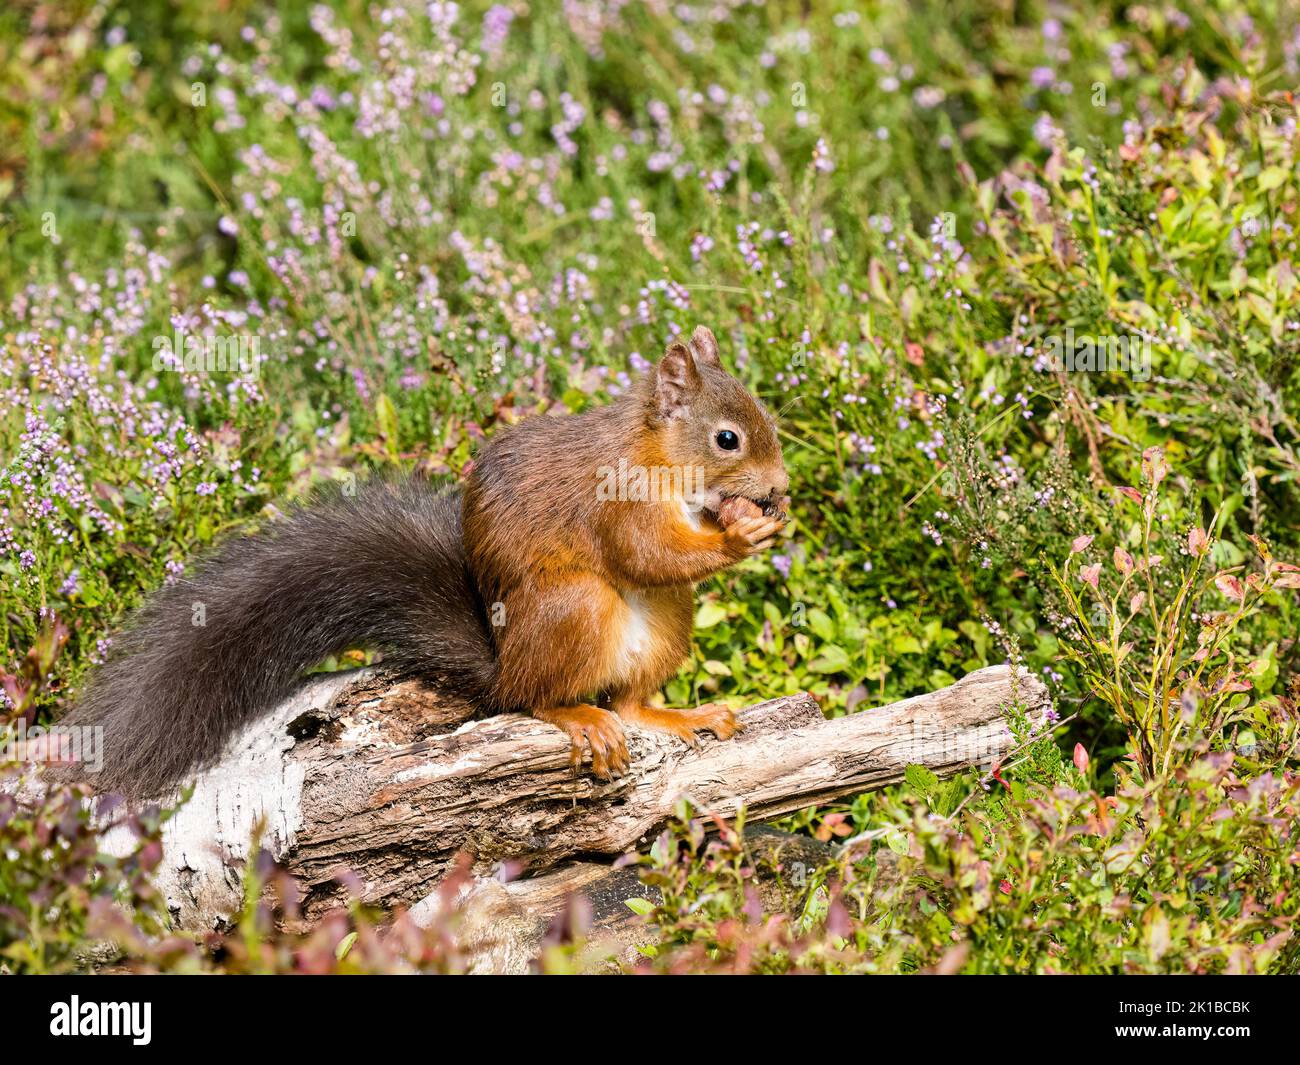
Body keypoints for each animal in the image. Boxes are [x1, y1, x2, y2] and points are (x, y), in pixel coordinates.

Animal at [61, 325, 789, 797]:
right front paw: (740, 536)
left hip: (666, 620)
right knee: (532, 700)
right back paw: (576, 715)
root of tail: (502, 664)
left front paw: (745, 520)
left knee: (631, 700)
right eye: (728, 438)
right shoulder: (616, 496)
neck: (659, 455)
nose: (780, 487)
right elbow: (645, 551)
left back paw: (676, 714)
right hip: (573, 609)